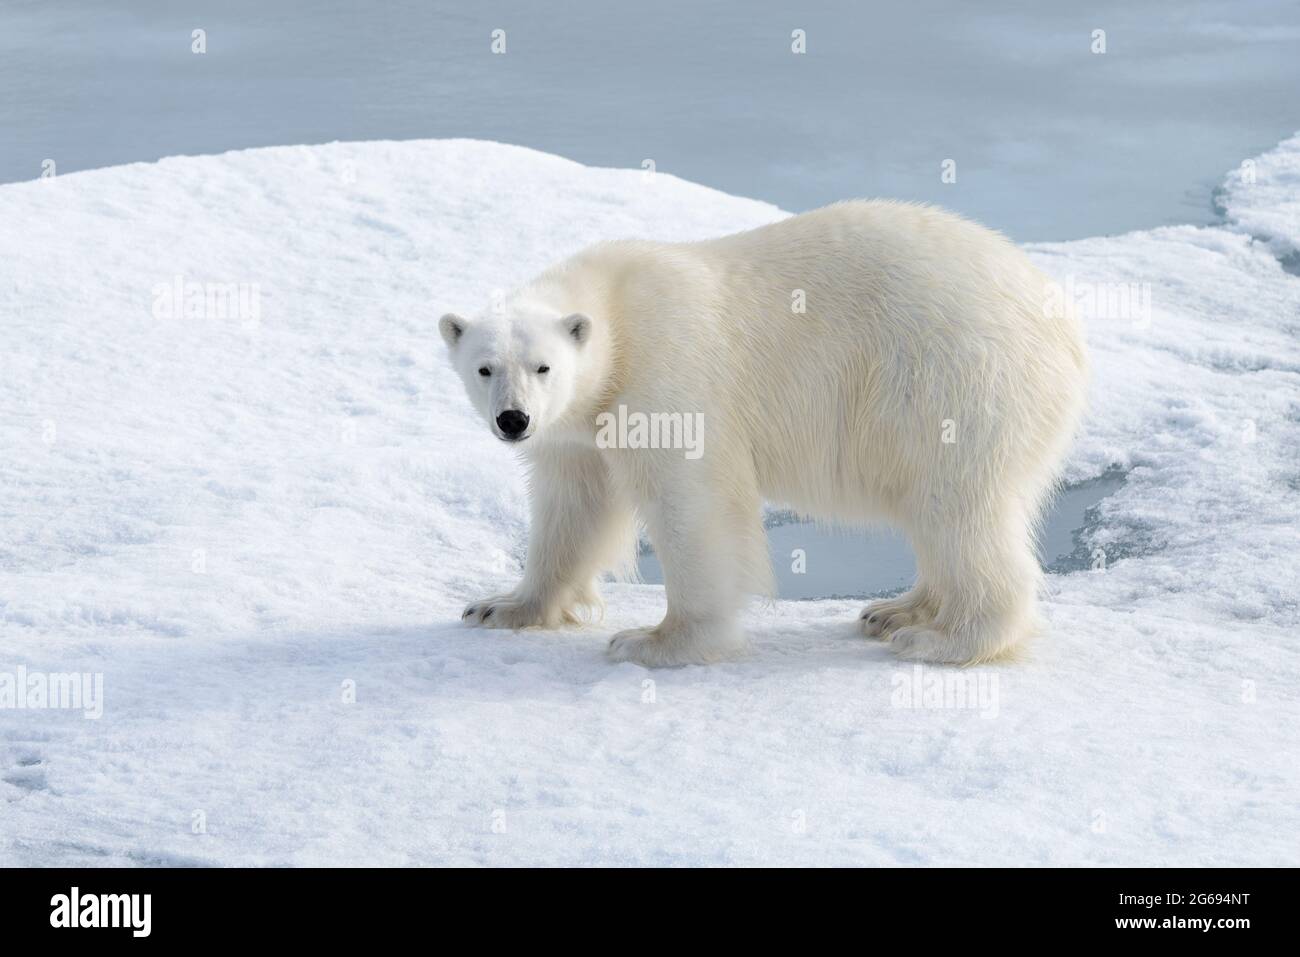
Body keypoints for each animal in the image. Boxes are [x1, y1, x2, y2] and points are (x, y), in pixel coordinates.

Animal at [439, 200, 1088, 667]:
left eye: (543, 367)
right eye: (485, 368)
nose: (514, 420)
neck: (617, 315)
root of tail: (1063, 330)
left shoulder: (666, 369)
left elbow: (692, 502)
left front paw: (657, 642)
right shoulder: (579, 428)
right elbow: (574, 506)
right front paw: (502, 606)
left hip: (951, 380)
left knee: (958, 507)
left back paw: (944, 640)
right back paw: (896, 612)